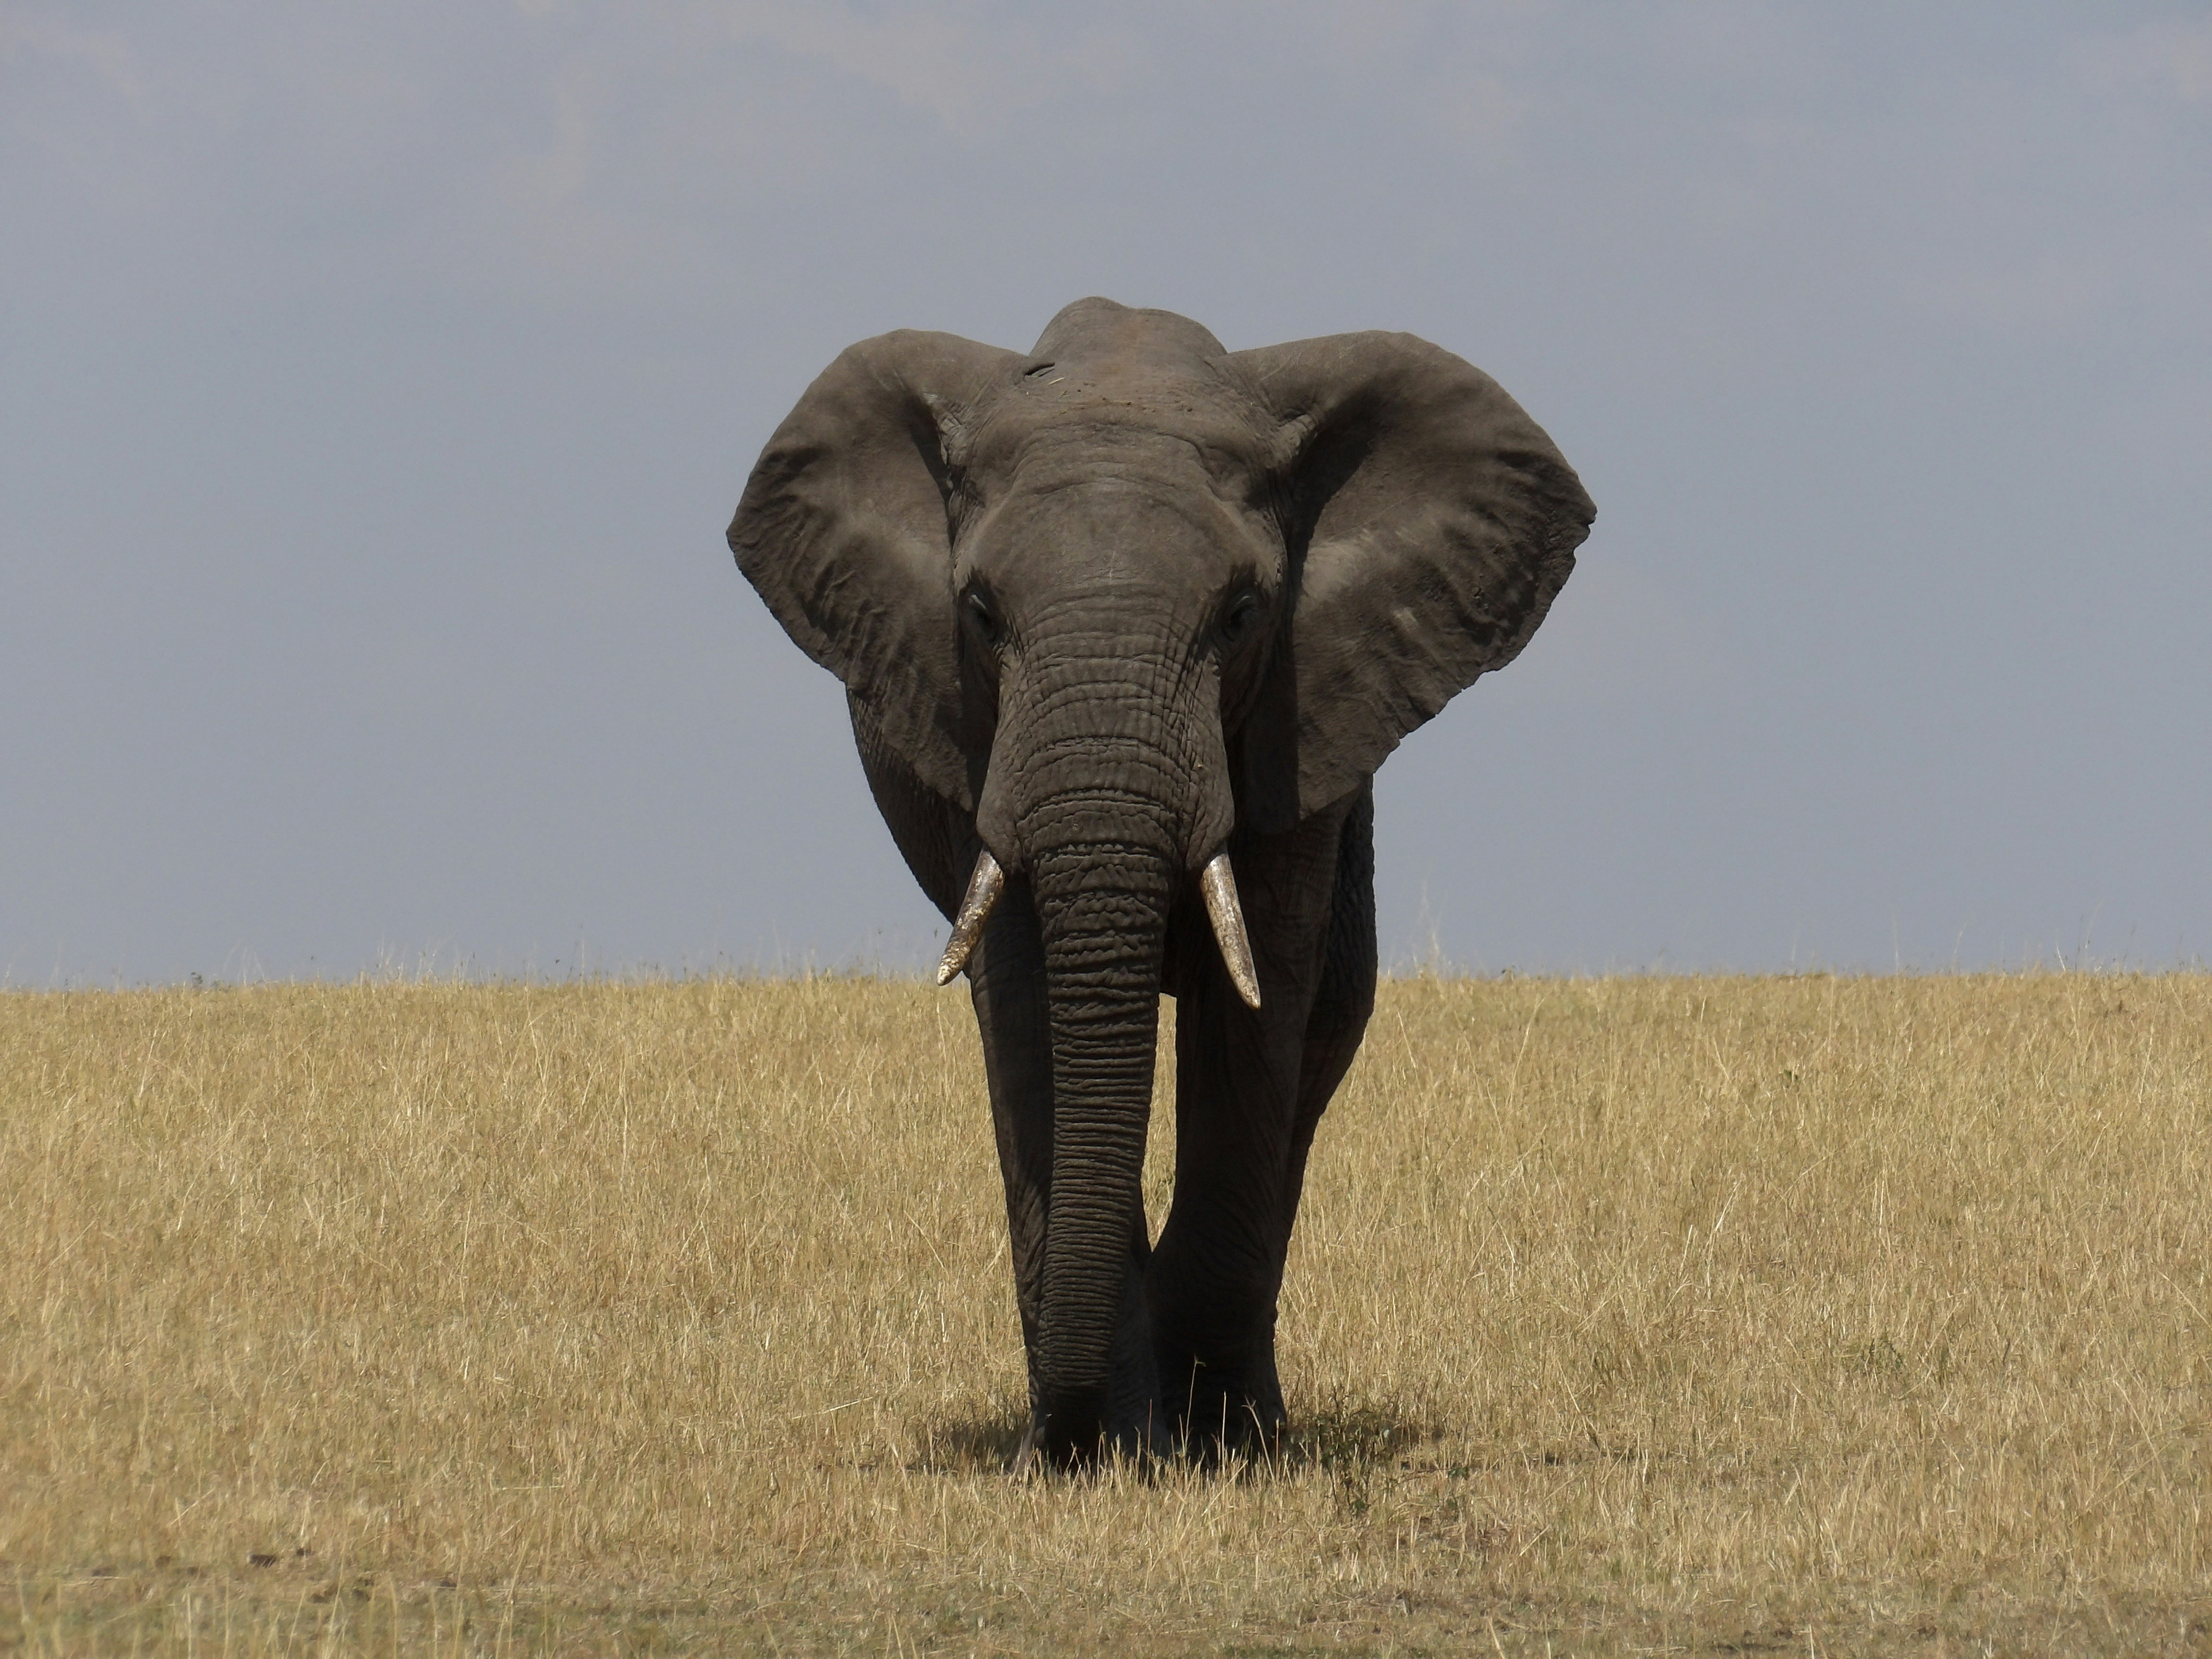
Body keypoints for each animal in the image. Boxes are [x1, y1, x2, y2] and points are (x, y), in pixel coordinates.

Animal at [729, 297, 1592, 1467]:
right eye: (980, 614)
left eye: (1240, 615)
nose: (1056, 1442)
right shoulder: (976, 741)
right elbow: (1026, 1003)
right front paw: (1112, 1450)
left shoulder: (1296, 721)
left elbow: (1256, 1005)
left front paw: (1220, 1446)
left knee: (1325, 1031)